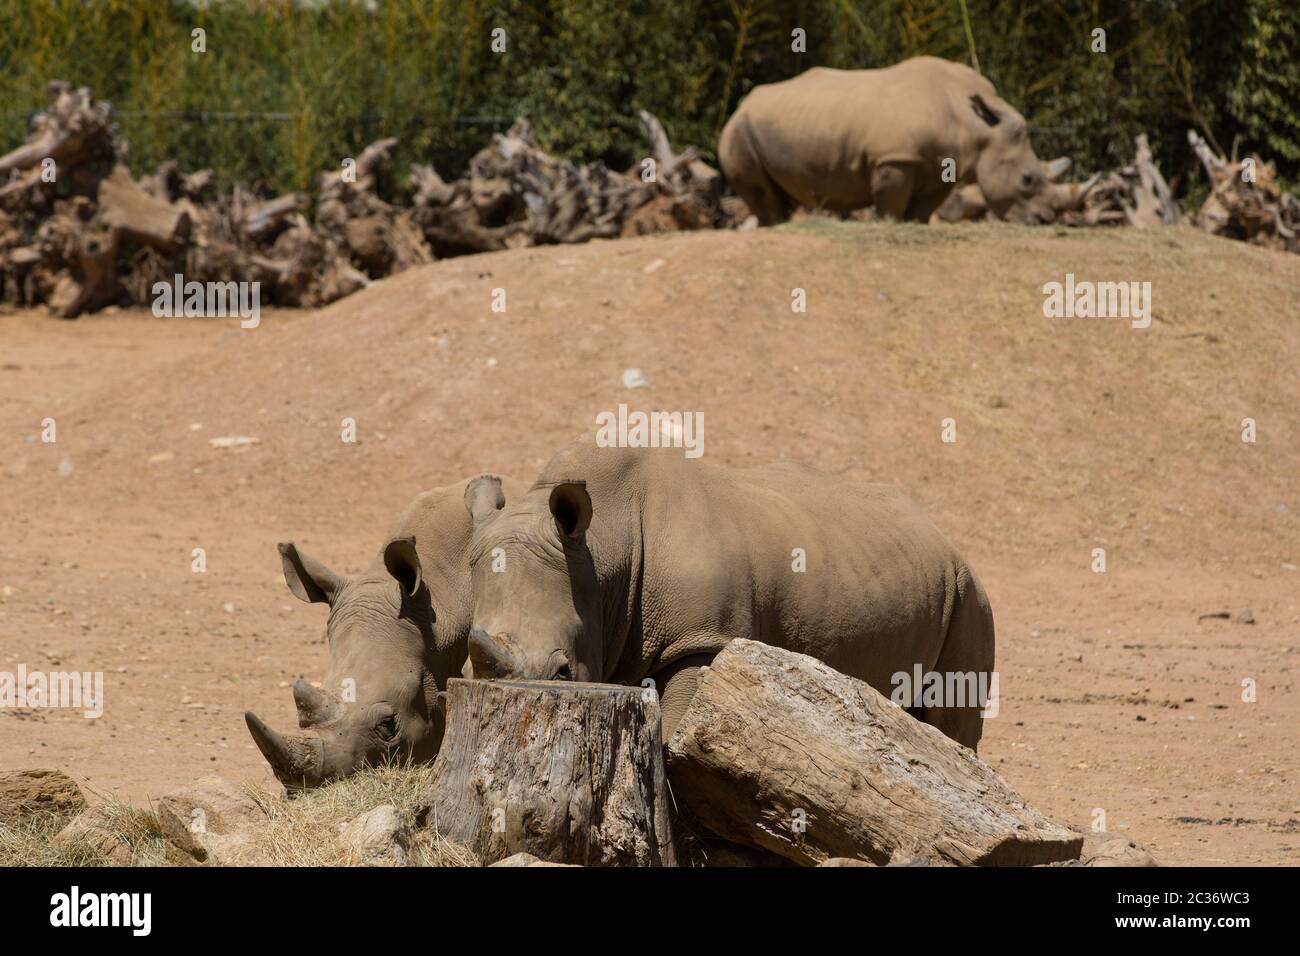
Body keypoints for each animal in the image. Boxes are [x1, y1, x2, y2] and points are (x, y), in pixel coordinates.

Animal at [462, 441, 995, 750]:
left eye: (563, 673)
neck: (604, 552)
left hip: (969, 593)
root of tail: (945, 538)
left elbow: (674, 736)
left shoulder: (702, 639)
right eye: (469, 667)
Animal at [719, 56, 1090, 225]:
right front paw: (890, 225)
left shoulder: (942, 166)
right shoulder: (895, 158)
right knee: (762, 193)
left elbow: (923, 209)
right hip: (739, 131)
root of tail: (740, 105)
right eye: (1027, 179)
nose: (1044, 221)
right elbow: (892, 206)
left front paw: (915, 224)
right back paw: (774, 224)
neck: (977, 127)